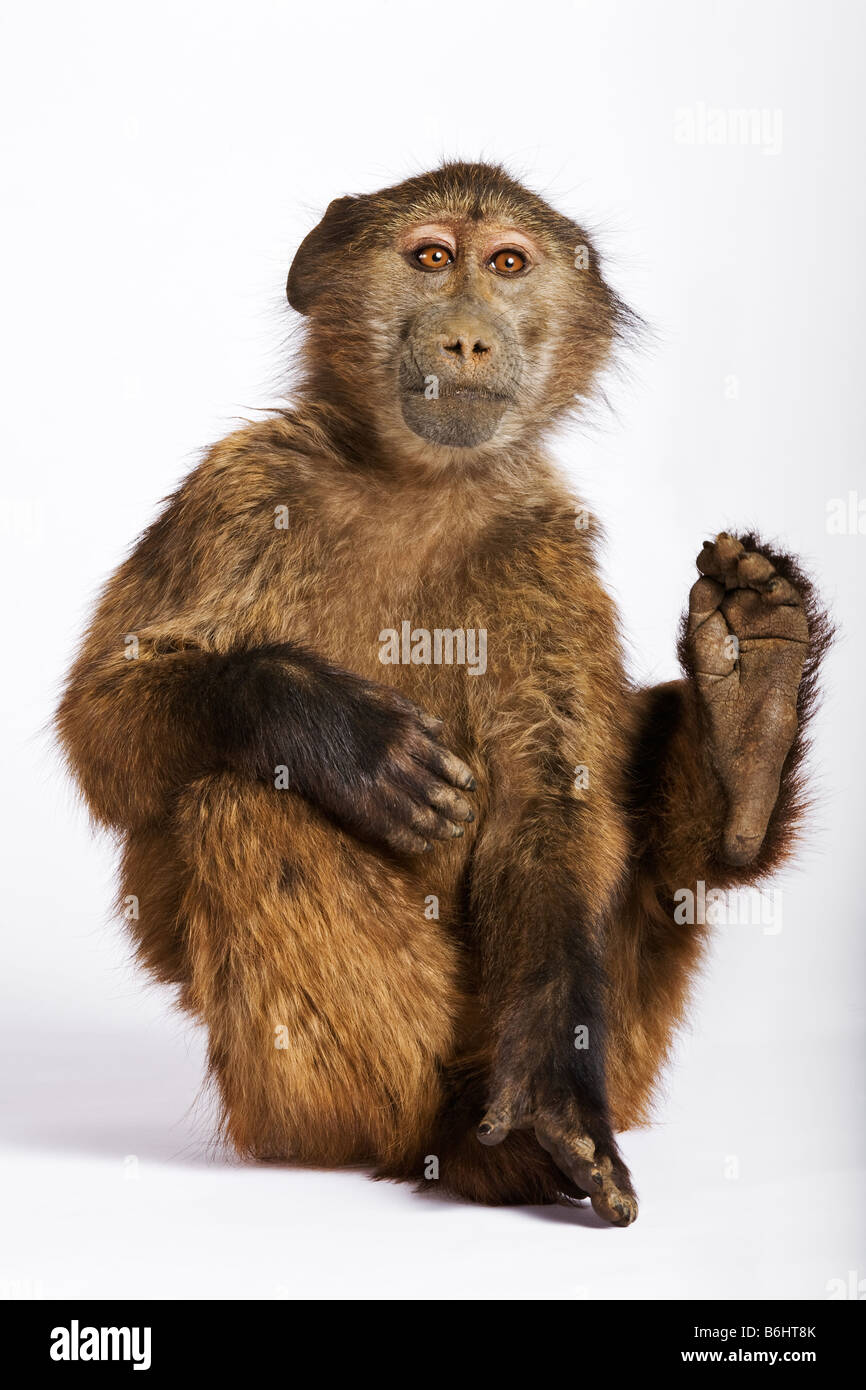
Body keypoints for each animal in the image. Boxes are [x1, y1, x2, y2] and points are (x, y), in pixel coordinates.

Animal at [56, 162, 831, 1226]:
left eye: (506, 264)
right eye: (431, 257)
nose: (467, 336)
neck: (420, 483)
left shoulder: (546, 548)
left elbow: (551, 803)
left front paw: (555, 1090)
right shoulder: (241, 488)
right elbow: (101, 721)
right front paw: (331, 730)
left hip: (622, 1053)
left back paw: (749, 714)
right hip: (312, 1097)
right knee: (244, 805)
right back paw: (447, 1147)